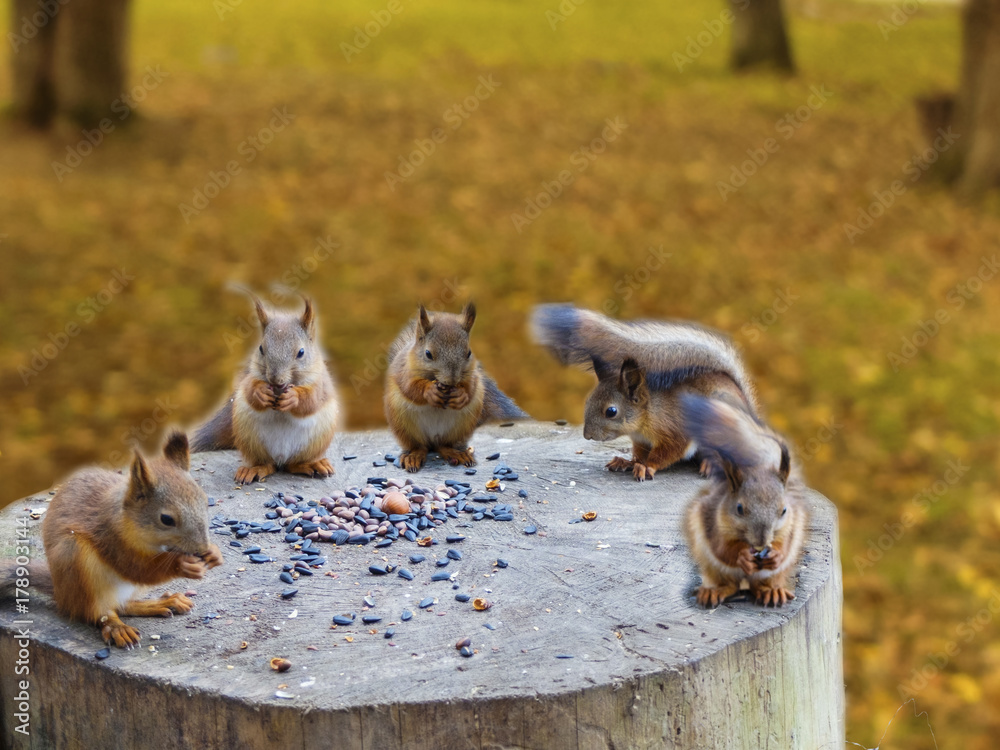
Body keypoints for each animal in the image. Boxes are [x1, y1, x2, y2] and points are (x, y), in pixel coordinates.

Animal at [25, 431, 223, 647]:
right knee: (99, 612)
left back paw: (160, 603)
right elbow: (138, 569)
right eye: (166, 519)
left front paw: (214, 554)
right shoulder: (112, 539)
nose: (201, 548)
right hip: (76, 561)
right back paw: (117, 628)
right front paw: (182, 564)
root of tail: (61, 595)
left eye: (205, 501)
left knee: (123, 605)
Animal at [191, 293, 341, 485]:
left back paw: (312, 464)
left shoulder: (320, 384)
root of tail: (281, 457)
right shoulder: (248, 378)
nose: (275, 379)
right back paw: (253, 469)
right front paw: (261, 393)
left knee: (294, 465)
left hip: (315, 442)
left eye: (301, 352)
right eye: (261, 348)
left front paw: (293, 398)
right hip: (251, 441)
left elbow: (312, 400)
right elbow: (248, 391)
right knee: (267, 464)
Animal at [384, 302, 529, 472]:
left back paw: (457, 453)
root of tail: (433, 440)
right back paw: (413, 456)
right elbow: (410, 387)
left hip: (461, 427)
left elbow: (471, 388)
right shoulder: (403, 370)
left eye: (469, 353)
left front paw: (460, 395)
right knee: (419, 446)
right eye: (428, 353)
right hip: (404, 426)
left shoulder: (473, 374)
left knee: (445, 445)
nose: (452, 381)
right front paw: (430, 392)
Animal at [531, 303, 758, 481]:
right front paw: (629, 462)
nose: (588, 436)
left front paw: (648, 466)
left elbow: (668, 453)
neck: (647, 414)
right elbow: (640, 453)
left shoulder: (676, 431)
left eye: (611, 411)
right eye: (588, 402)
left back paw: (711, 465)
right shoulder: (641, 440)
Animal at [681, 393, 808, 608]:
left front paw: (776, 555)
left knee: (762, 584)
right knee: (728, 584)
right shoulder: (713, 520)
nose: (761, 541)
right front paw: (741, 556)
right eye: (739, 508)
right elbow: (722, 548)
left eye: (784, 510)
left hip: (774, 574)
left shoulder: (790, 525)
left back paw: (771, 591)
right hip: (713, 567)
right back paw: (713, 592)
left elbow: (784, 544)